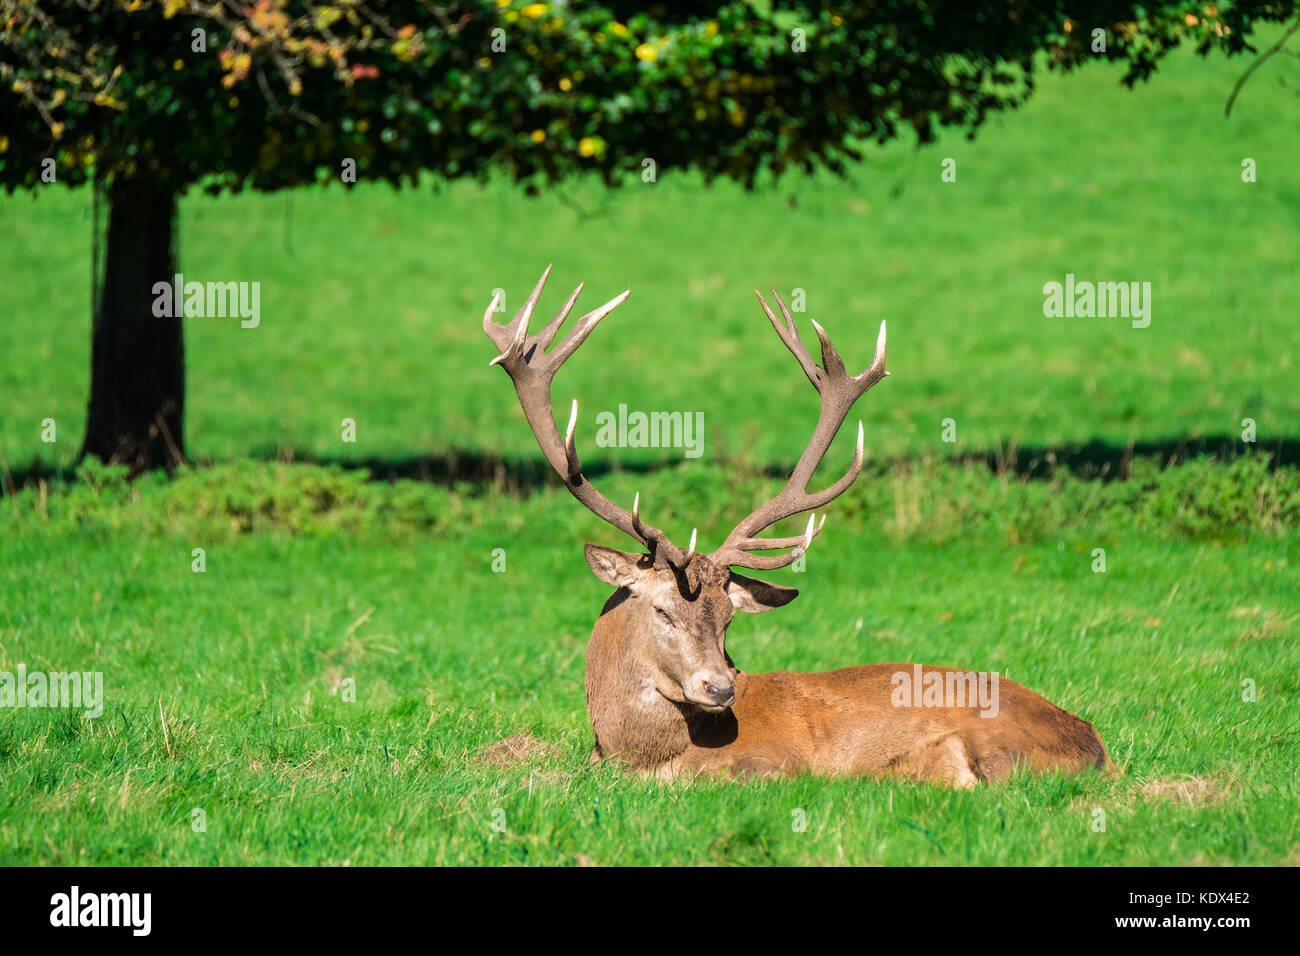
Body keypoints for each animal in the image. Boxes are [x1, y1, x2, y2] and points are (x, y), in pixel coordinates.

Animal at [483, 267, 1110, 786]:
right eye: (662, 609)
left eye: (729, 616)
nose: (721, 687)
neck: (636, 754)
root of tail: (1096, 747)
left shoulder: (774, 760)